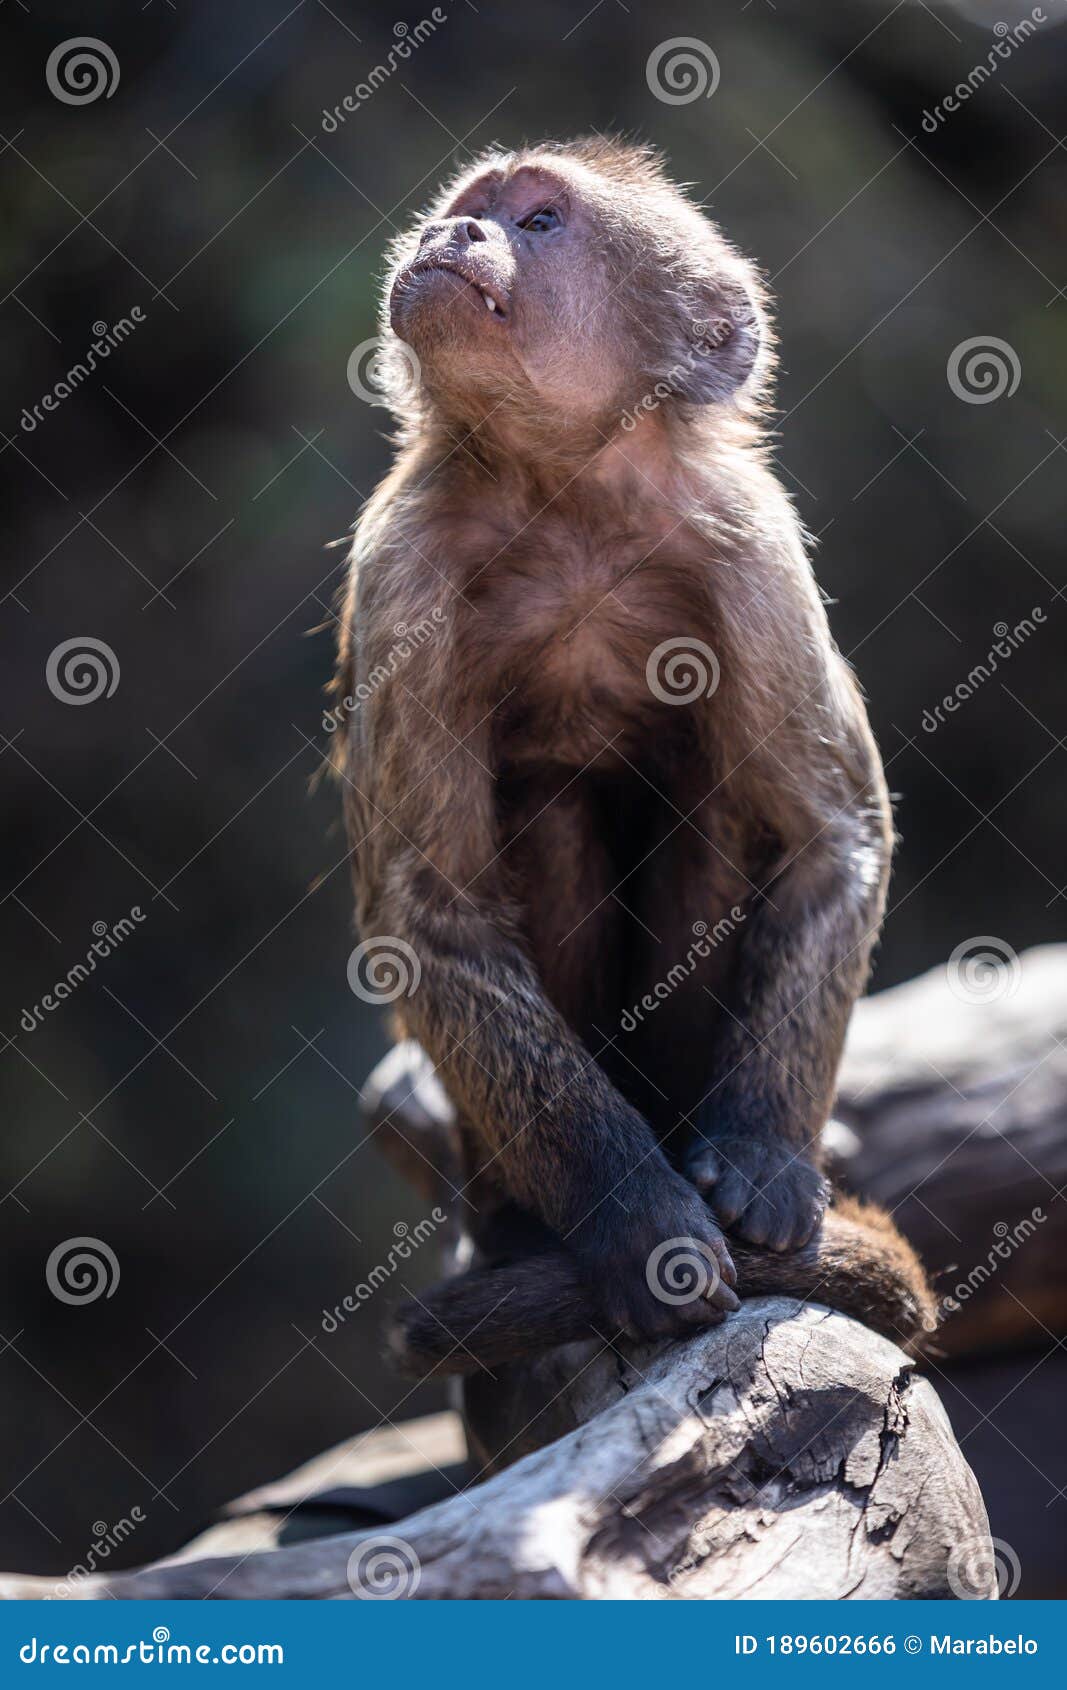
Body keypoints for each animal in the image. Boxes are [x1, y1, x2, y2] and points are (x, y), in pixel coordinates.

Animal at [331, 136, 936, 1376]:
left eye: (539, 220)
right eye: (472, 210)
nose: (452, 235)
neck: (561, 489)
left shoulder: (748, 539)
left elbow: (832, 837)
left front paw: (761, 1156)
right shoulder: (401, 564)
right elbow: (430, 912)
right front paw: (633, 1219)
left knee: (715, 803)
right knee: (552, 809)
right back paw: (530, 1226)